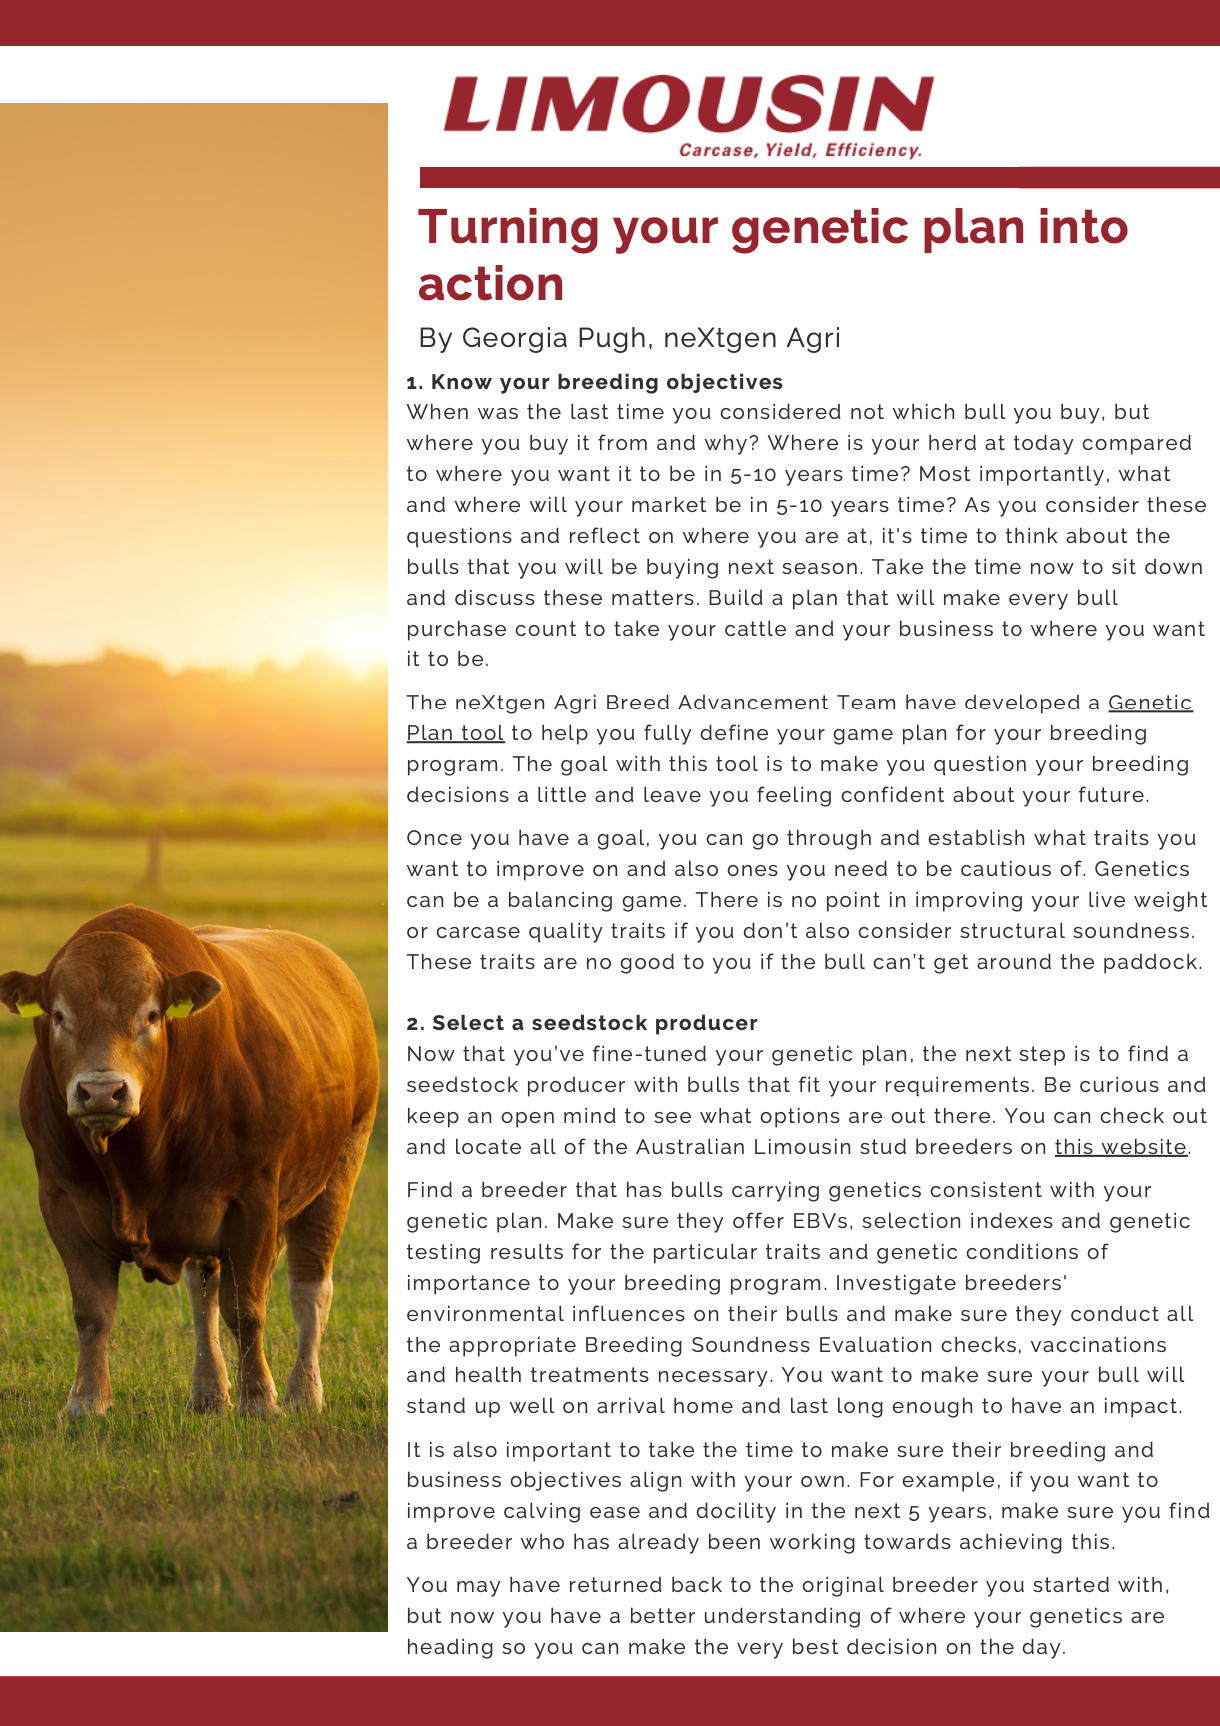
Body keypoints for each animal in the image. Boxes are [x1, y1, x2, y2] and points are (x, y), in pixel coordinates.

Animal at [0, 904, 379, 1418]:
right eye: (59, 1015)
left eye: (151, 1015)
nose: (101, 1091)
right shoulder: (61, 1201)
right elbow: (92, 1312)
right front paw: (86, 1401)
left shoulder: (253, 1199)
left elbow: (248, 1309)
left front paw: (259, 1401)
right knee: (205, 1293)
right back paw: (209, 1392)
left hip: (339, 1171)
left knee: (309, 1288)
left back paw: (304, 1391)